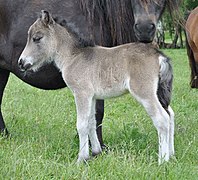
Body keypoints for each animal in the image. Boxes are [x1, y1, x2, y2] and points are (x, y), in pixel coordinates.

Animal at [17, 10, 174, 164]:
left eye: (37, 38)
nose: (21, 62)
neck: (74, 56)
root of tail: (159, 56)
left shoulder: (82, 94)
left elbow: (81, 125)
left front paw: (81, 158)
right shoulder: (92, 96)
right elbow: (92, 122)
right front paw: (96, 152)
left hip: (144, 92)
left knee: (162, 118)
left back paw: (163, 160)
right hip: (158, 92)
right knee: (170, 115)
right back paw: (172, 155)